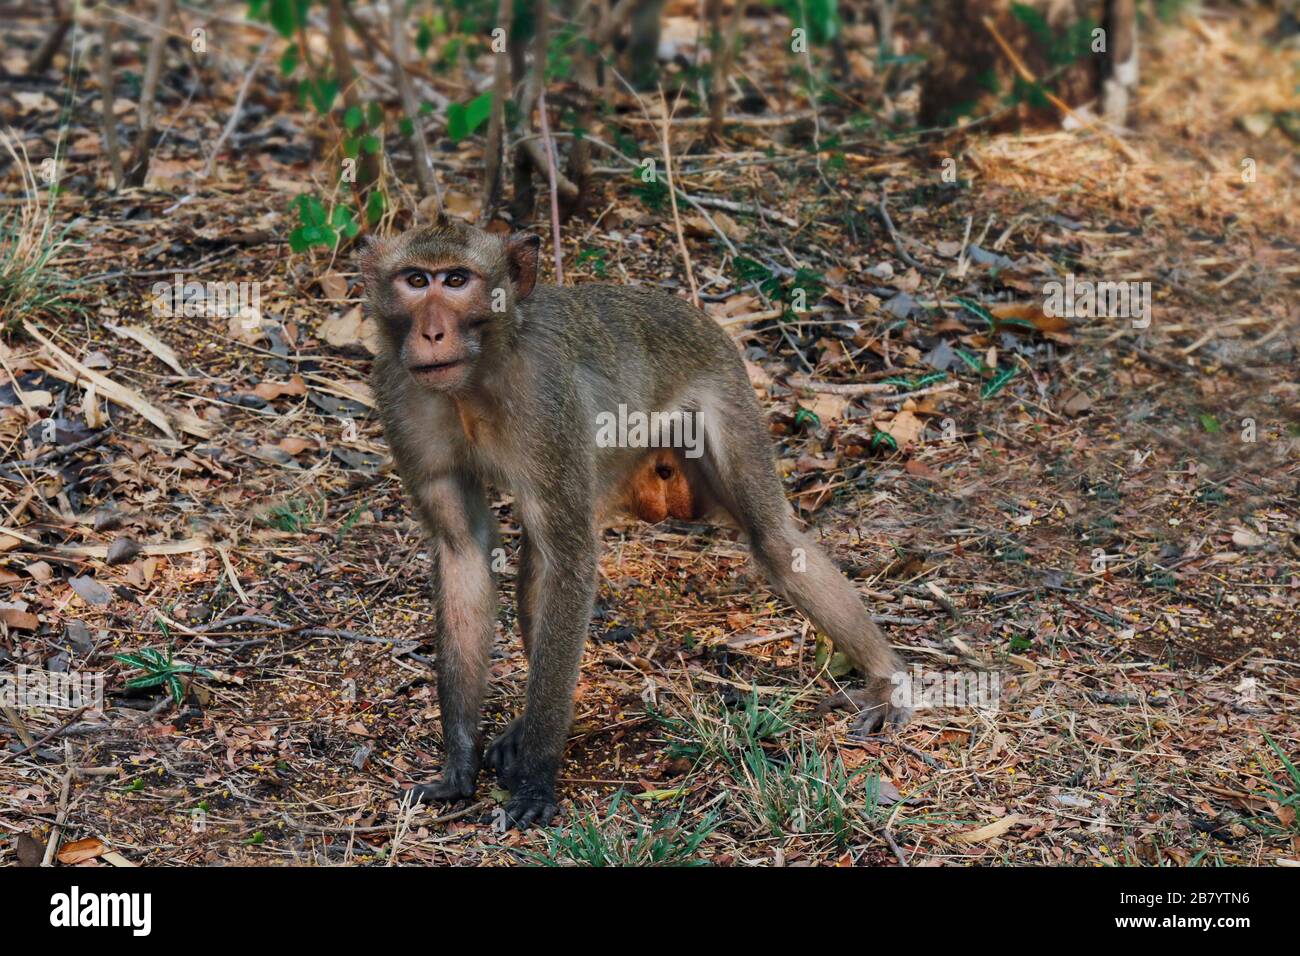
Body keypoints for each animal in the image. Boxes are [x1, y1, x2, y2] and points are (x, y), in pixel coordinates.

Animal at [361, 216, 909, 828]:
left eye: (456, 280)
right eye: (415, 280)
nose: (432, 333)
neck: (477, 376)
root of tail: (690, 311)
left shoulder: (545, 401)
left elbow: (570, 558)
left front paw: (537, 777)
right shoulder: (401, 394)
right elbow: (463, 551)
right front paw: (459, 762)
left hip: (720, 393)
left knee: (772, 538)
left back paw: (884, 679)